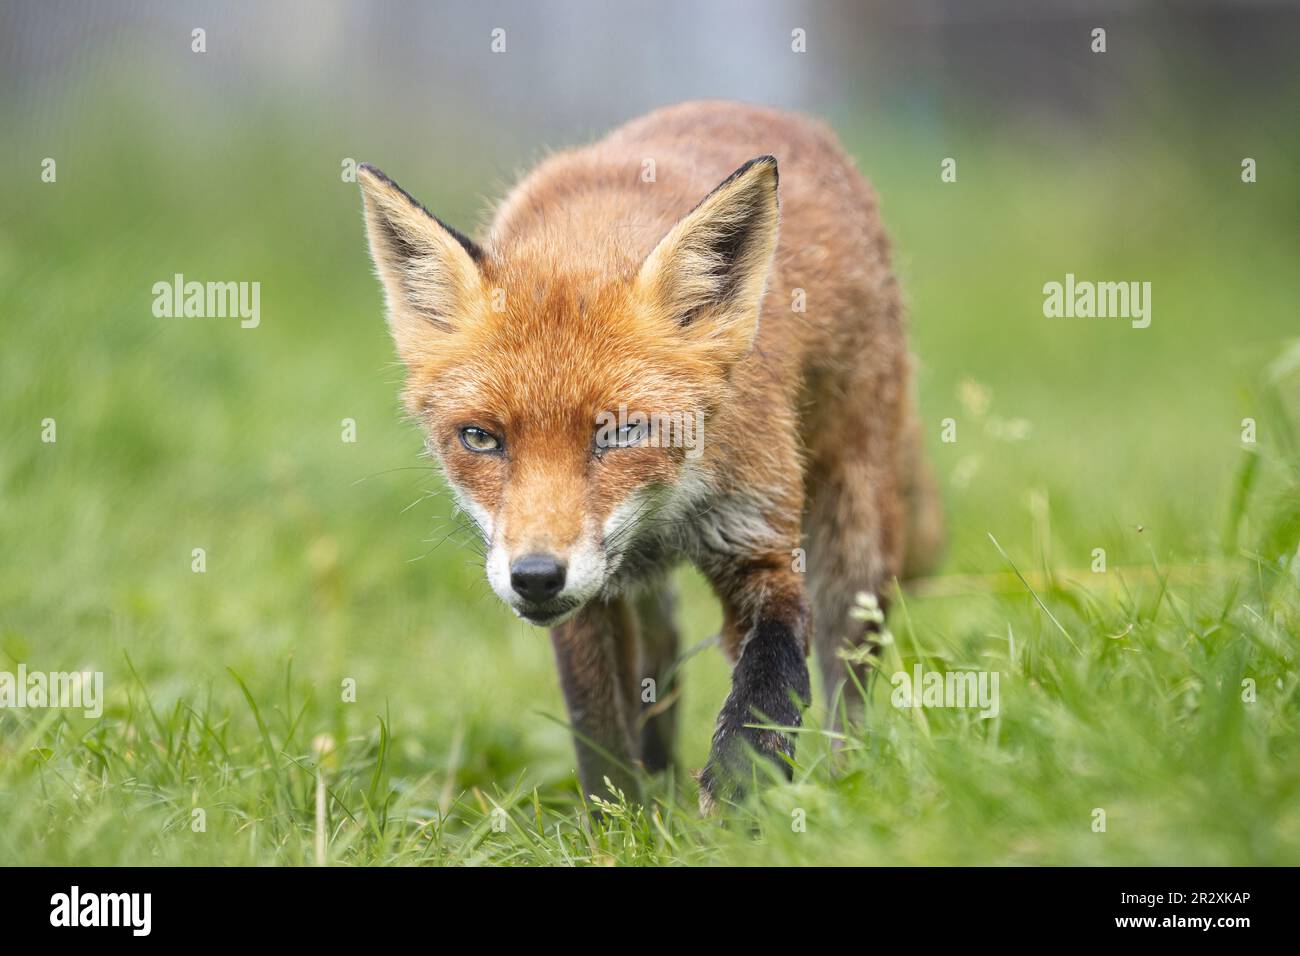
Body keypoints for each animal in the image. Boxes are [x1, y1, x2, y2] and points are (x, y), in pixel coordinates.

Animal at [357, 101, 943, 810]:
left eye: (620, 433)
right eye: (480, 438)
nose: (535, 576)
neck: (668, 515)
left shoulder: (760, 543)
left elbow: (768, 685)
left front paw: (737, 796)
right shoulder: (589, 602)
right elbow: (600, 731)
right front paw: (620, 821)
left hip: (853, 537)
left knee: (844, 694)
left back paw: (845, 789)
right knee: (661, 655)